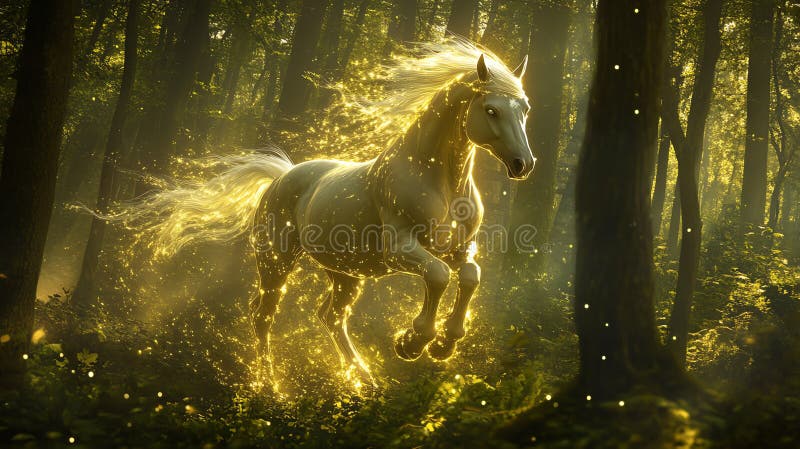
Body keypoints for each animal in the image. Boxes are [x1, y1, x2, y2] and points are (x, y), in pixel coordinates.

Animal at [109, 40, 533, 382]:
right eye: (491, 110)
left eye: (525, 108)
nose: (523, 164)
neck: (437, 180)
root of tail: (281, 177)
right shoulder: (400, 248)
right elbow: (439, 275)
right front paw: (413, 343)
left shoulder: (461, 247)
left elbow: (469, 277)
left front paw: (445, 344)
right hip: (277, 262)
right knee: (263, 315)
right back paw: (271, 387)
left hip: (345, 273)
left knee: (331, 316)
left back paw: (363, 382)